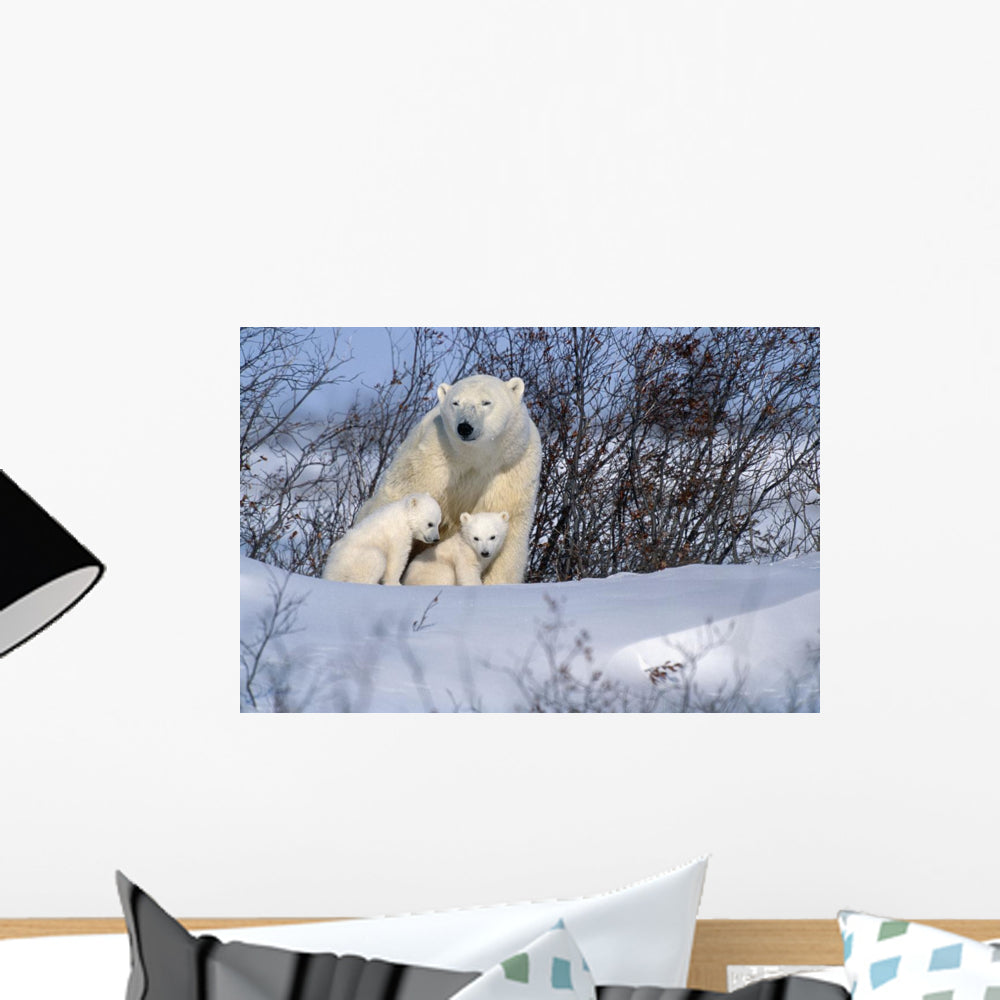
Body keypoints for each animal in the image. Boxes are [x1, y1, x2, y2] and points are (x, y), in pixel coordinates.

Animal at [354, 373, 542, 584]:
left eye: (486, 402)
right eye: (456, 402)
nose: (465, 427)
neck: (477, 459)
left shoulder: (512, 468)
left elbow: (509, 527)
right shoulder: (436, 459)